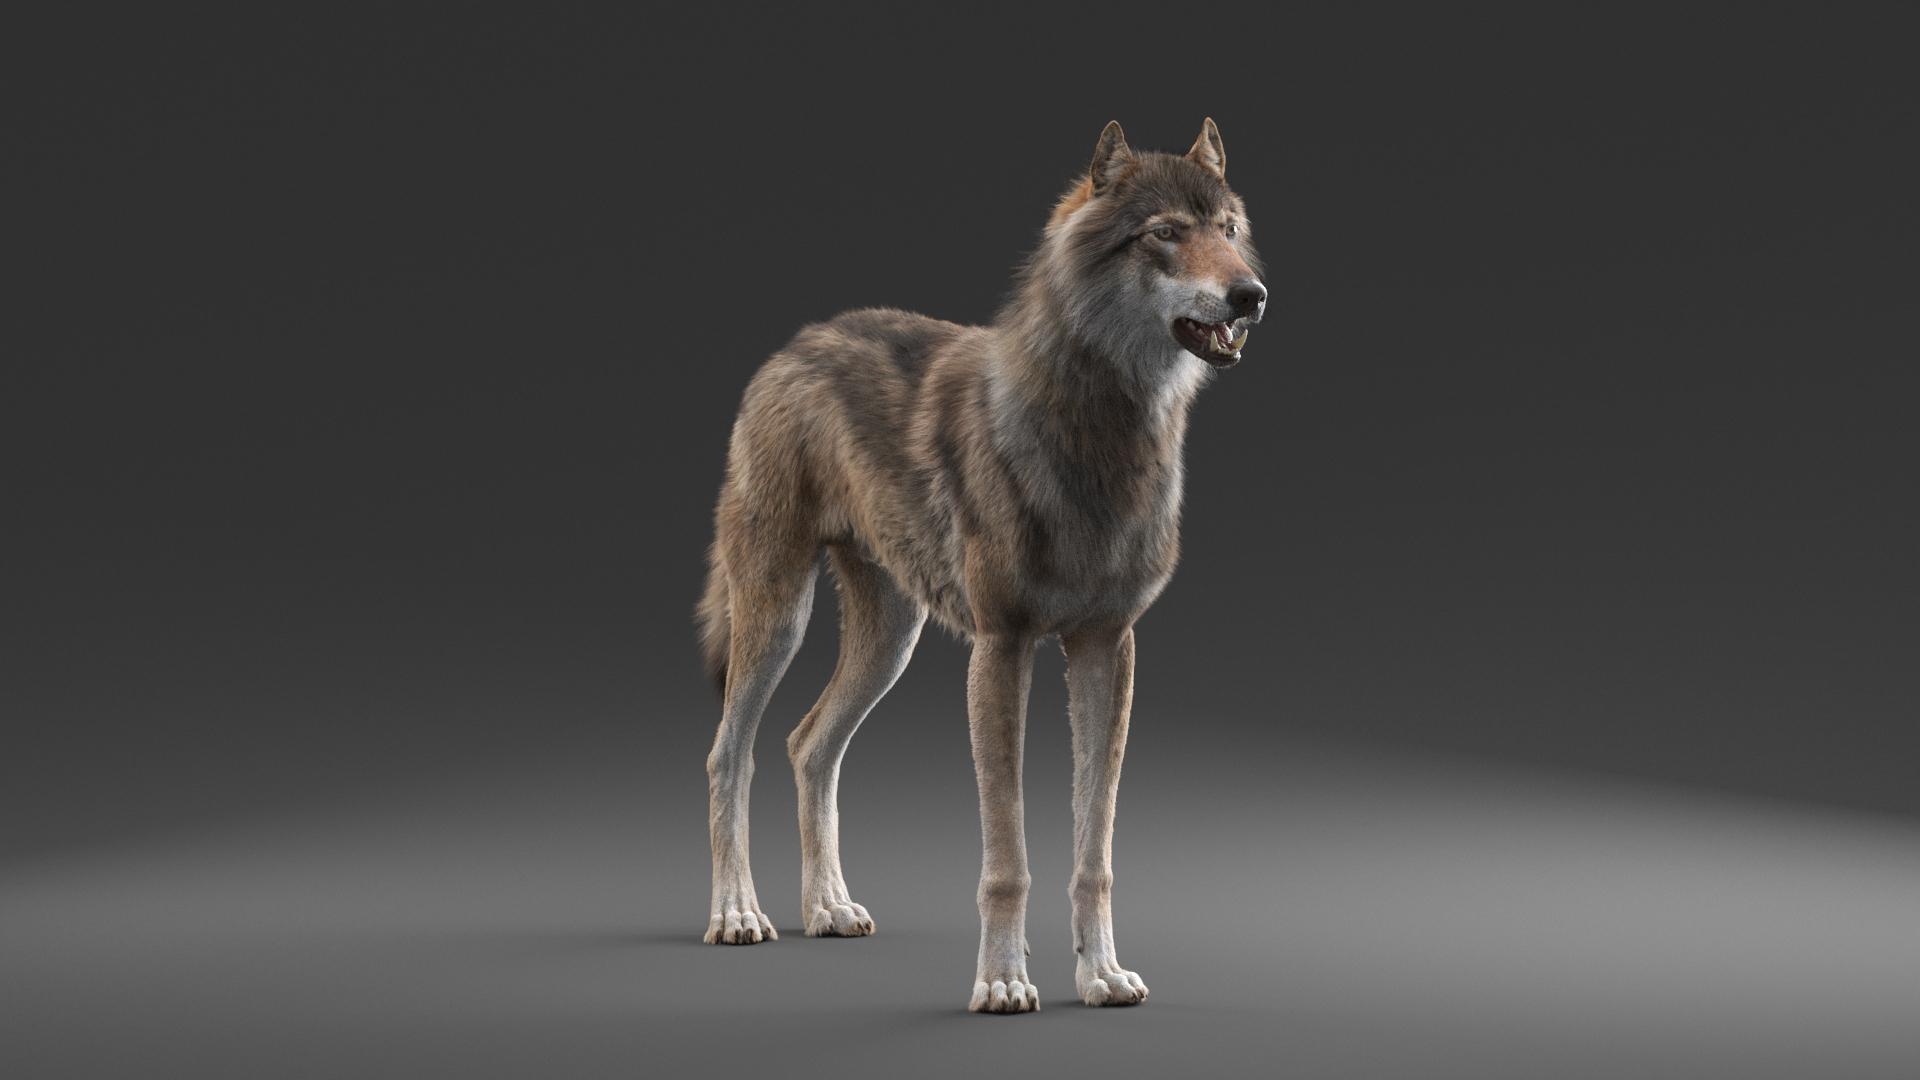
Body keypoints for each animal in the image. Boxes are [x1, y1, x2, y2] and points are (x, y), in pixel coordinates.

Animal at [697, 119, 1264, 1013]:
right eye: (1166, 233)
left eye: (1230, 230)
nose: (1251, 295)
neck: (1100, 432)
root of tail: (795, 344)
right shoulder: (1002, 649)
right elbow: (1009, 857)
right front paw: (1002, 979)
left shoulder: (1107, 648)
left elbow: (1094, 853)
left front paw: (1100, 974)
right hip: (777, 617)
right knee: (731, 753)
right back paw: (737, 914)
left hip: (891, 643)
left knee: (808, 745)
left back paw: (827, 908)